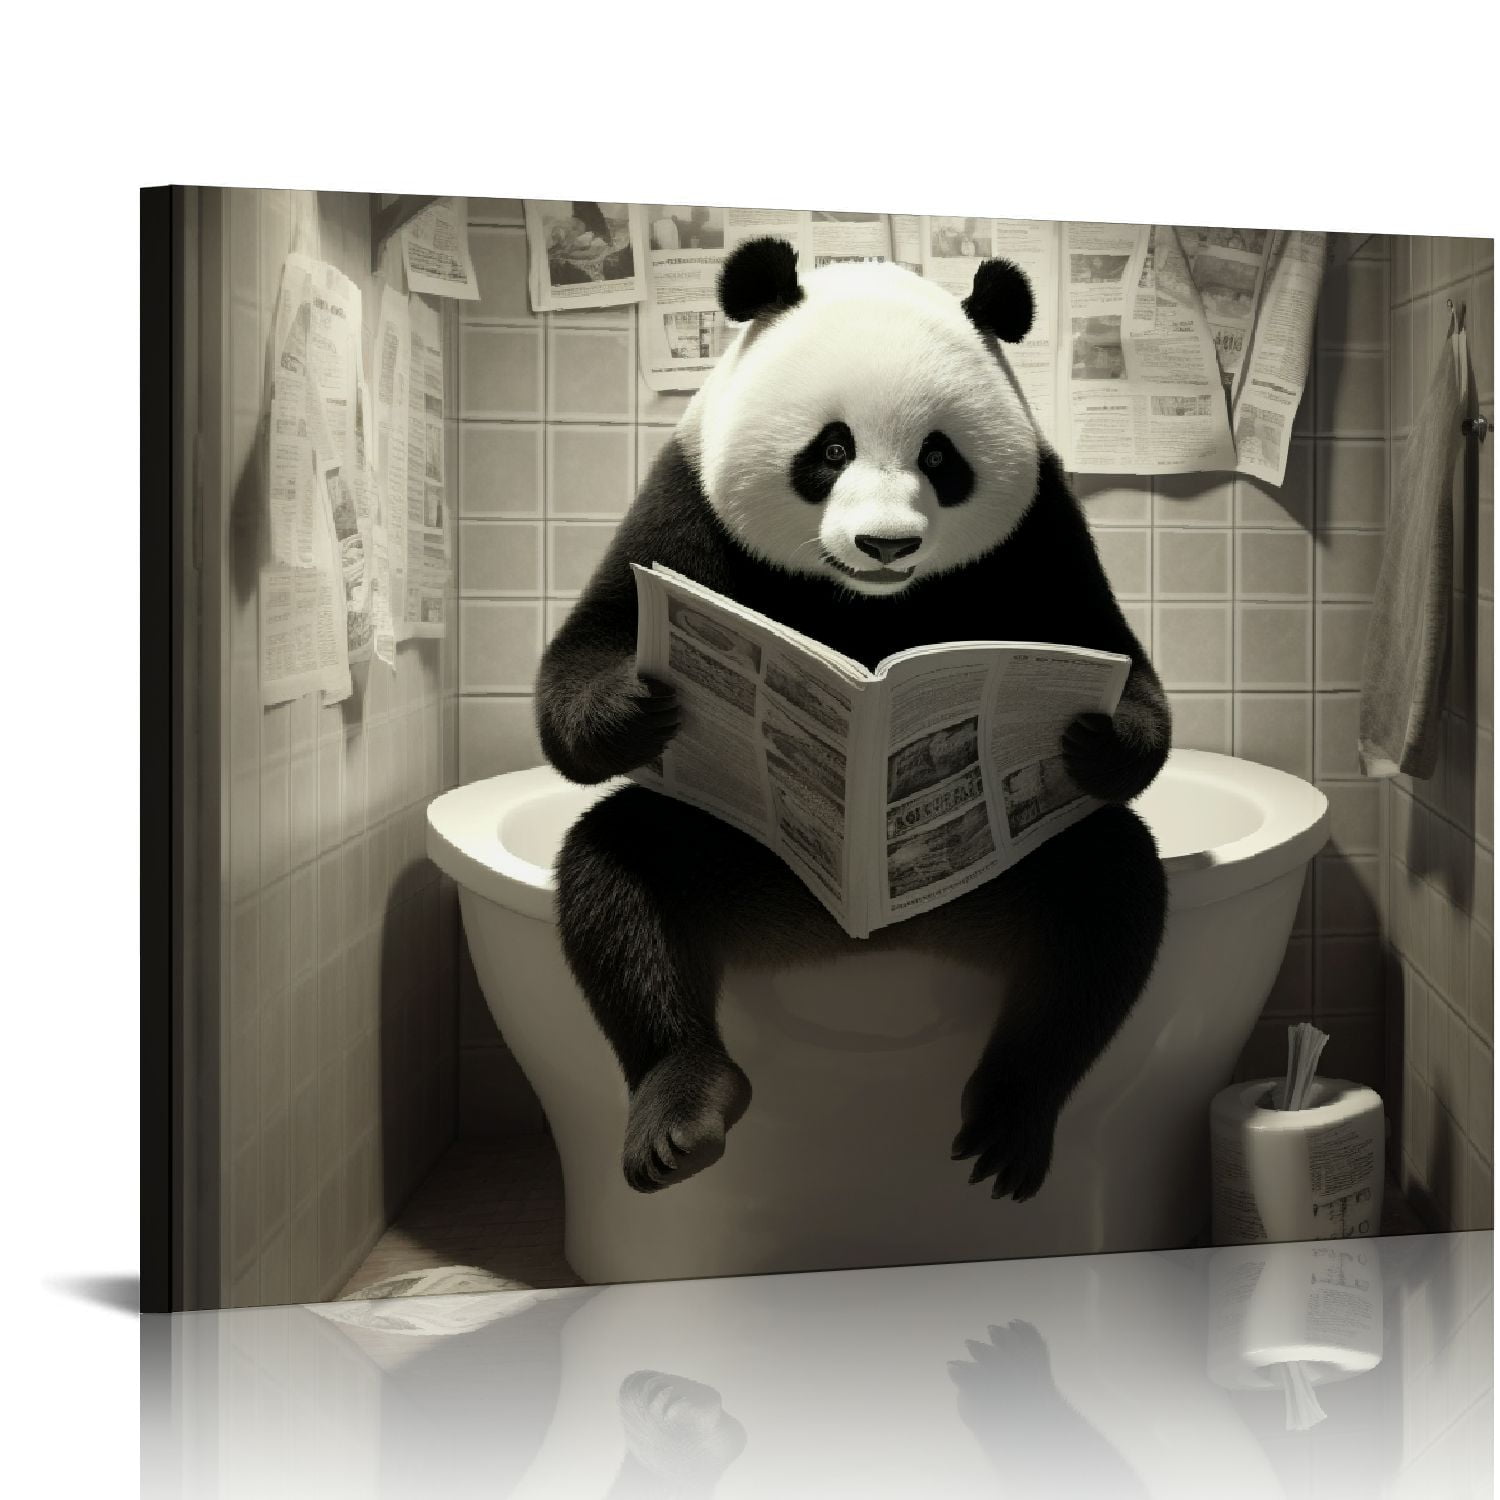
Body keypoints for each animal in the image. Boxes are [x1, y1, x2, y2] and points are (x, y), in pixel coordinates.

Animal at [535, 238, 1170, 1204]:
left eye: (941, 458)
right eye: (831, 448)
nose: (887, 545)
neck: (865, 602)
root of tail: (851, 932)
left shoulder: (1040, 531)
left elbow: (1116, 656)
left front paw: (1089, 737)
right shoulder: (686, 501)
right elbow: (591, 645)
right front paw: (642, 702)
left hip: (1006, 879)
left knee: (1106, 900)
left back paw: (1011, 1118)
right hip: (730, 856)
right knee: (620, 880)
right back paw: (683, 1110)